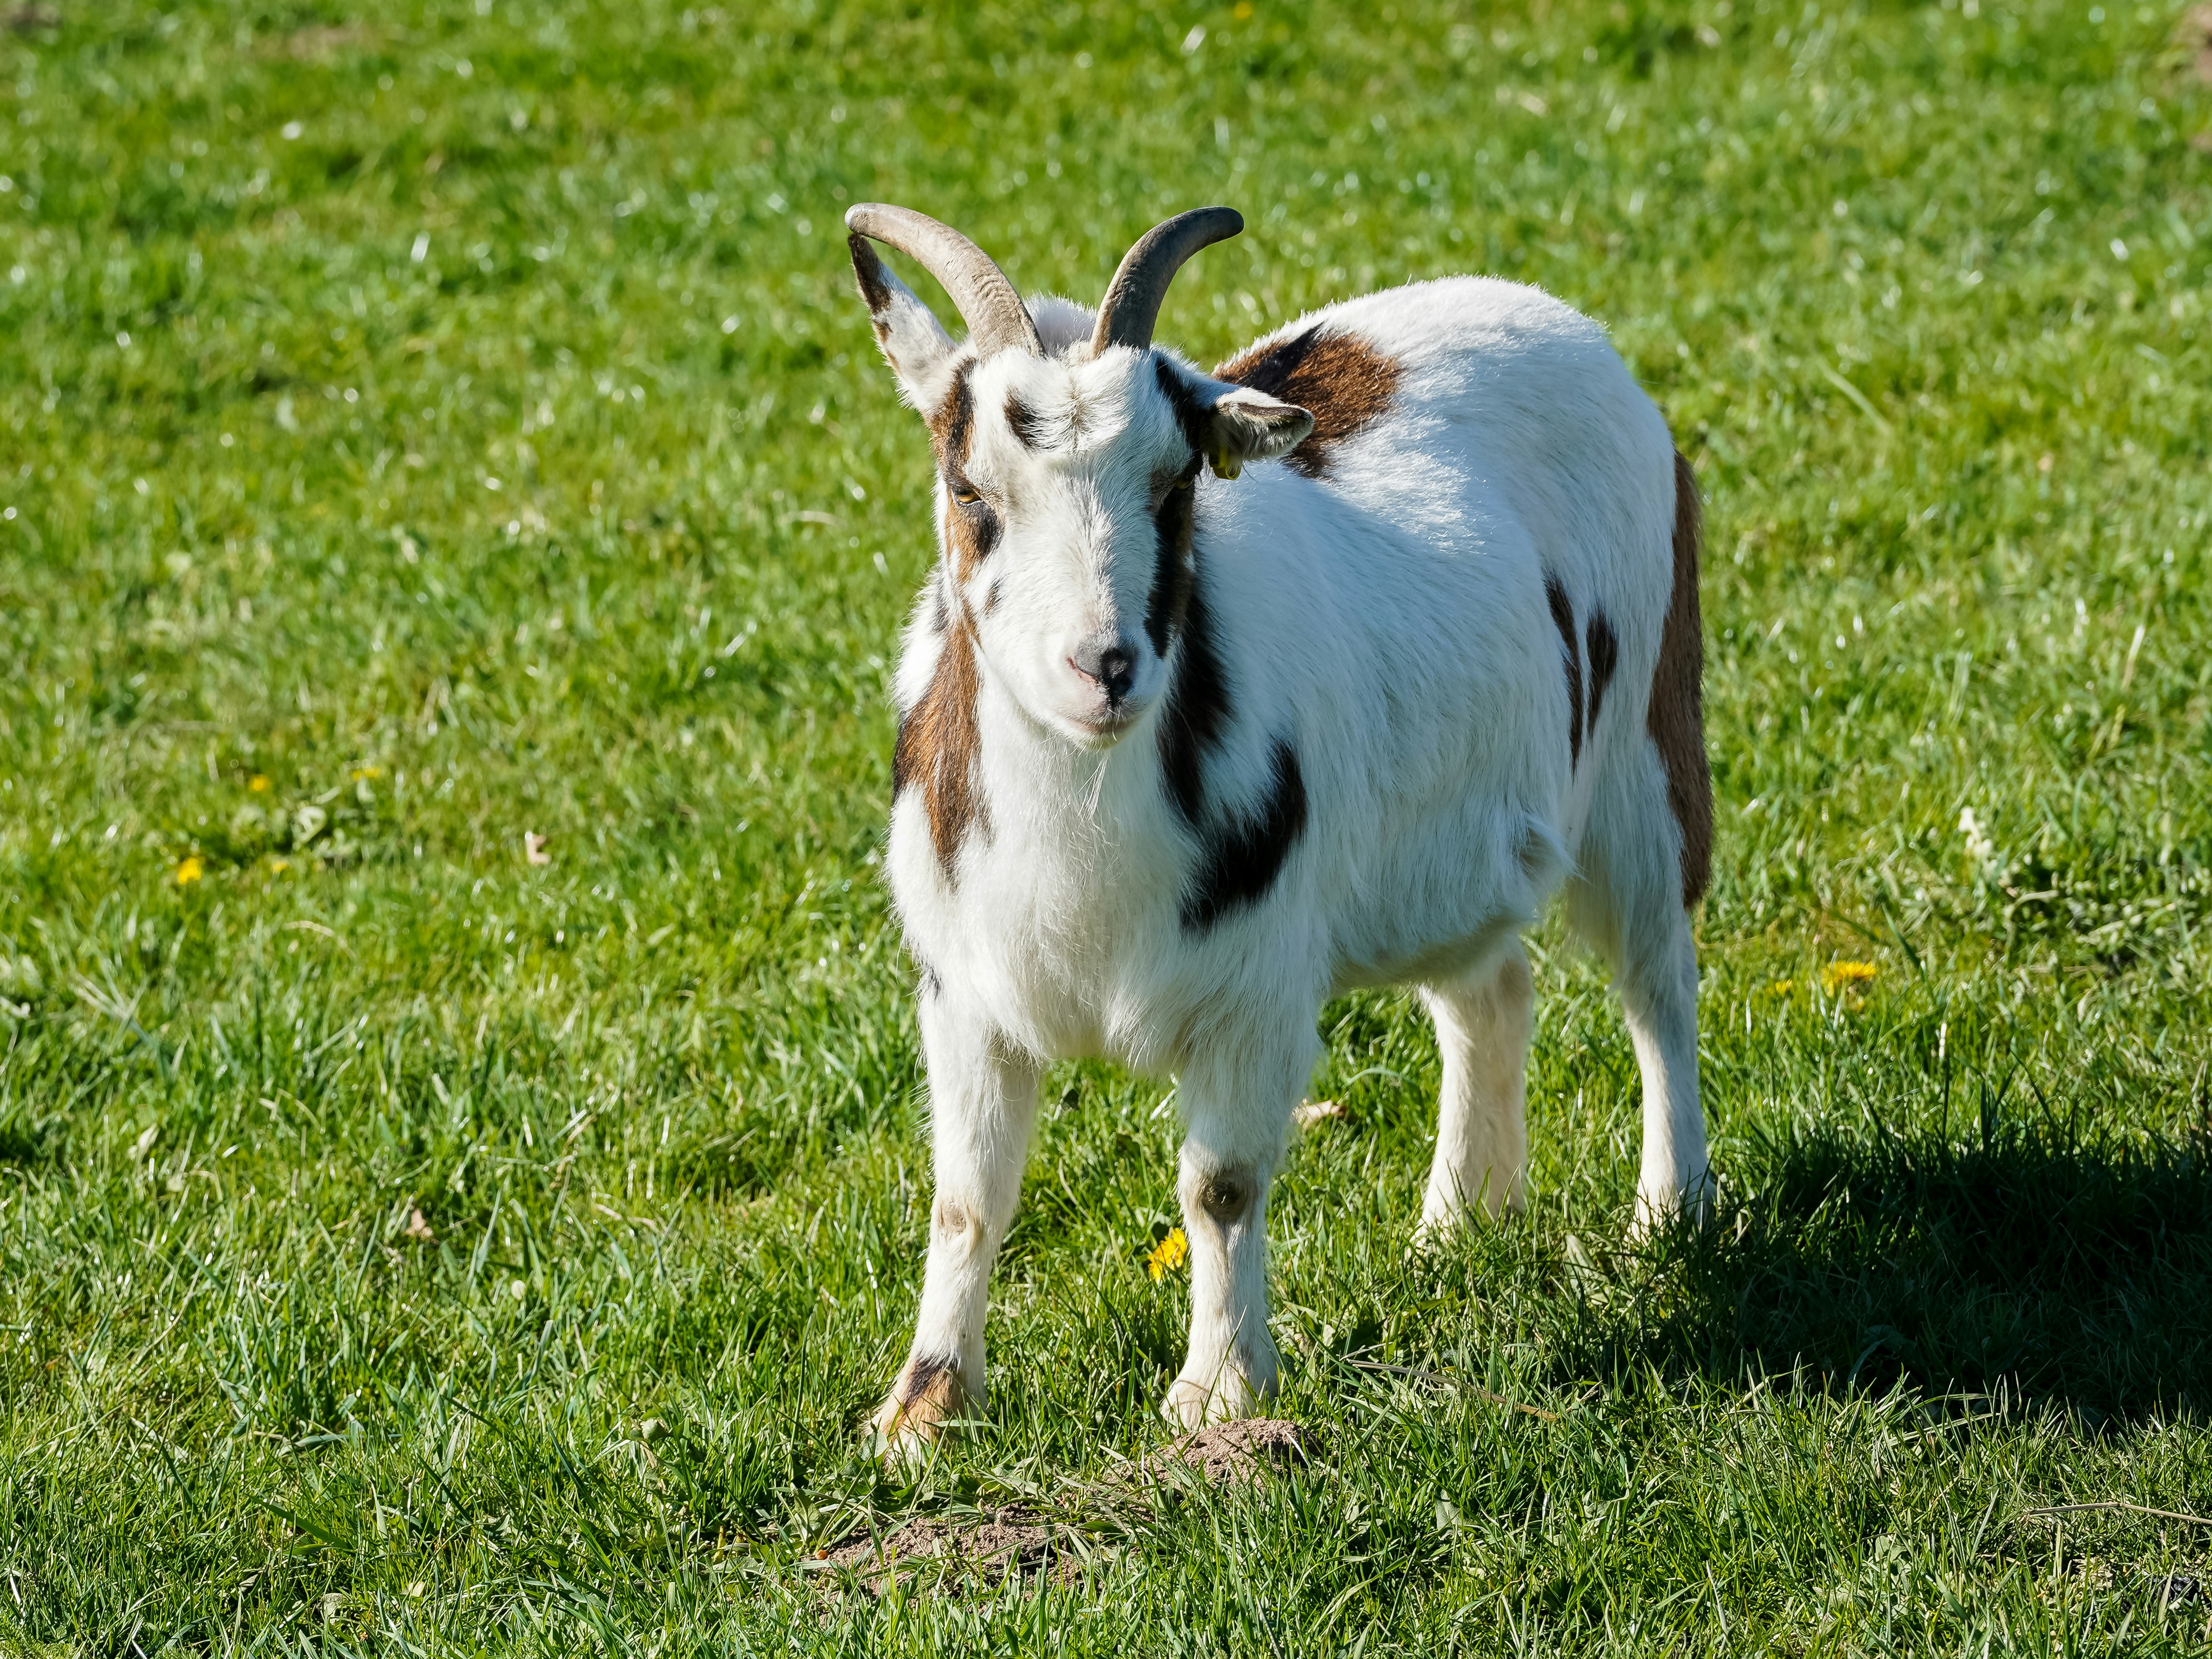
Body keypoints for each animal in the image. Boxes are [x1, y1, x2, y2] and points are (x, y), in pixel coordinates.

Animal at [842, 202, 1713, 1453]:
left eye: (1174, 488)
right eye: (970, 492)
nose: (1105, 667)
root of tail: (1556, 320)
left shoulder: (1252, 990)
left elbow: (1218, 1185)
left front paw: (1217, 1394)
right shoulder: (965, 988)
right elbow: (966, 1195)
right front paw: (921, 1408)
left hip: (1642, 754)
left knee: (1656, 982)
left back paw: (1667, 1216)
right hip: (1438, 852)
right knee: (1488, 992)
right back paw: (1456, 1230)